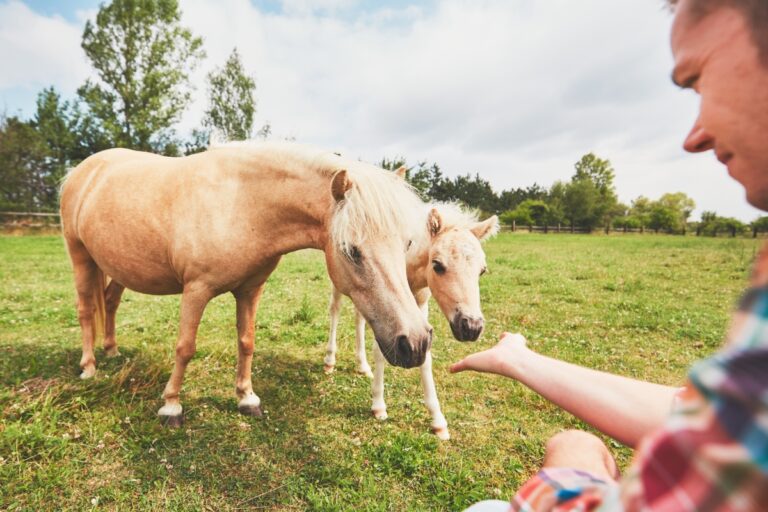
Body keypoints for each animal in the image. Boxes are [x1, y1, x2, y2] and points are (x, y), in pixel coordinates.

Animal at [59, 141, 432, 426]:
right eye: (352, 251)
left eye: (407, 243)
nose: (415, 343)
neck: (241, 203)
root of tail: (81, 172)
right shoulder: (196, 290)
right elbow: (185, 348)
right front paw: (171, 406)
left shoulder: (251, 290)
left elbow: (247, 342)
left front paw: (246, 398)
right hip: (80, 257)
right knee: (85, 309)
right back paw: (89, 366)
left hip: (115, 267)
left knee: (109, 302)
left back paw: (112, 350)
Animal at [323, 196, 499, 440]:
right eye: (437, 265)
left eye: (482, 270)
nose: (471, 327)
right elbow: (381, 350)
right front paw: (378, 405)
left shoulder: (418, 306)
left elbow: (425, 354)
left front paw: (438, 420)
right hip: (341, 282)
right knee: (335, 310)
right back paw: (329, 361)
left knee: (359, 318)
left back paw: (363, 366)